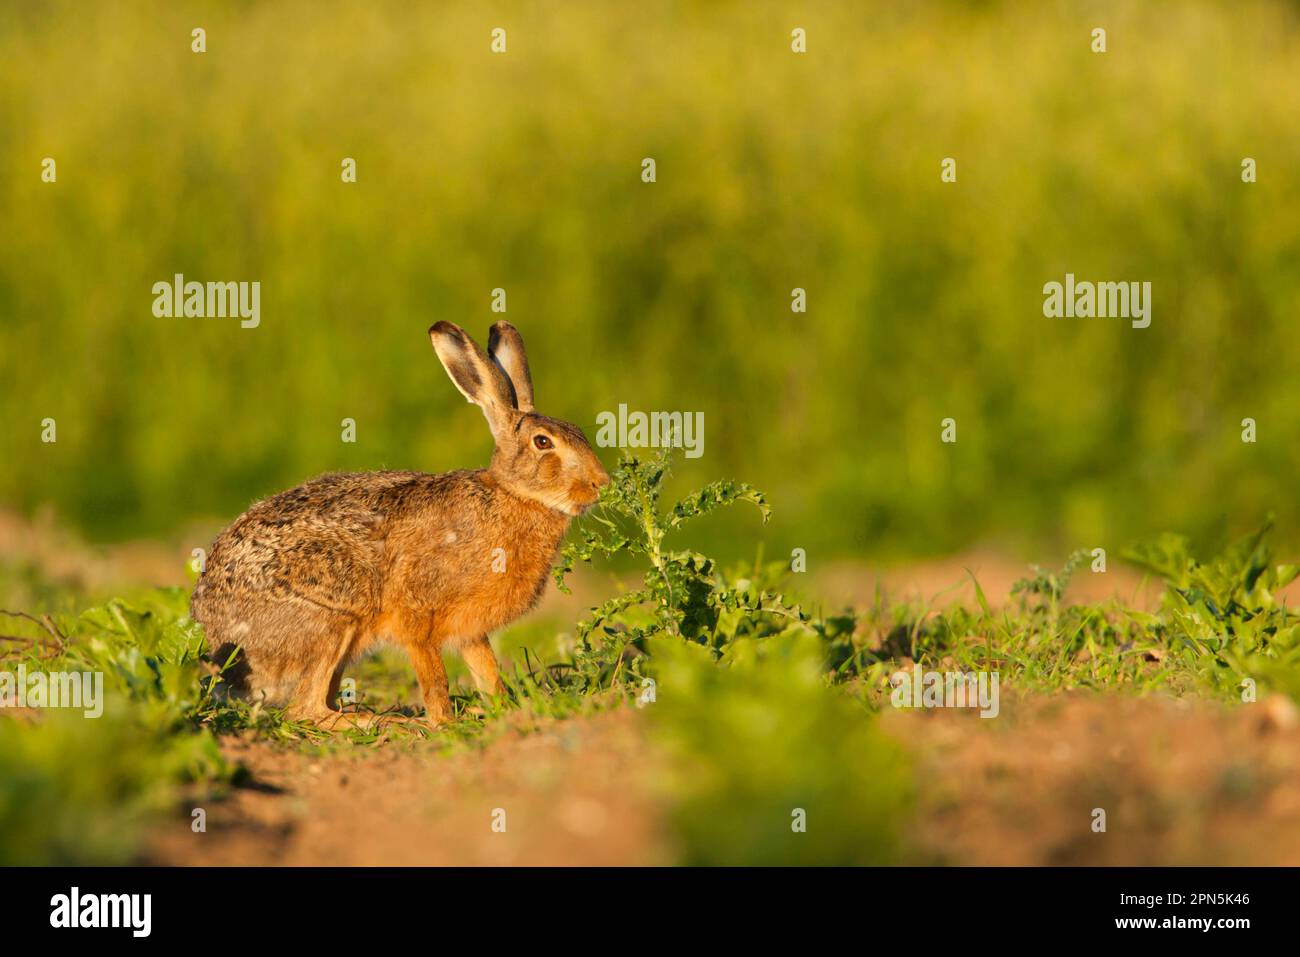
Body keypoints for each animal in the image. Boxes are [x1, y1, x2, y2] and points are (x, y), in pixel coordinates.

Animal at [190, 320, 610, 729]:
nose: (600, 483)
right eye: (543, 443)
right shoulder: (418, 613)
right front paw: (445, 723)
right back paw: (373, 722)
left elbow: (487, 669)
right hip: (335, 614)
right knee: (304, 710)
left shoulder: (471, 630)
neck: (514, 495)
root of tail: (218, 643)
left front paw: (501, 711)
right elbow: (434, 676)